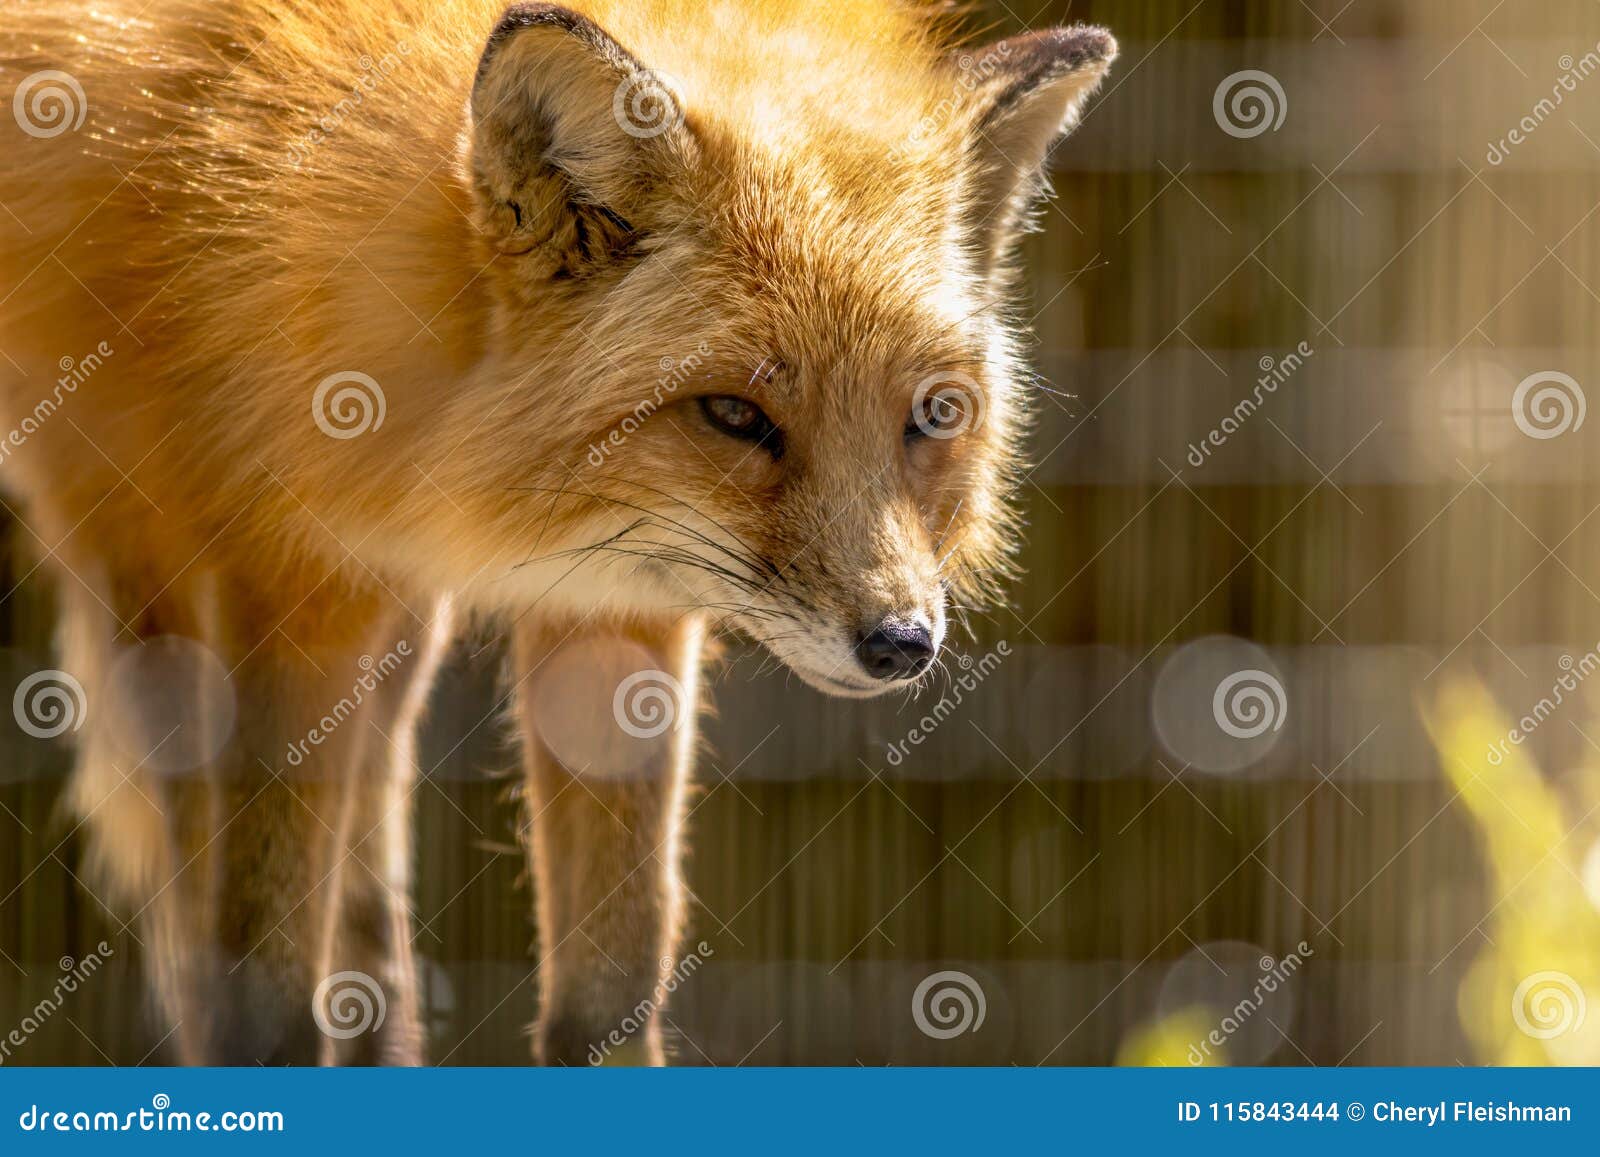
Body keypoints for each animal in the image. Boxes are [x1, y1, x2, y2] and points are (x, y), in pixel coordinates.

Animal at [0, 0, 1114, 1064]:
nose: (900, 644)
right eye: (734, 414)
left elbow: (605, 998)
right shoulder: (281, 579)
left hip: (396, 639)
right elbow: (258, 999)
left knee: (369, 919)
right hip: (158, 592)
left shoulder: (614, 607)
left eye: (931, 416)